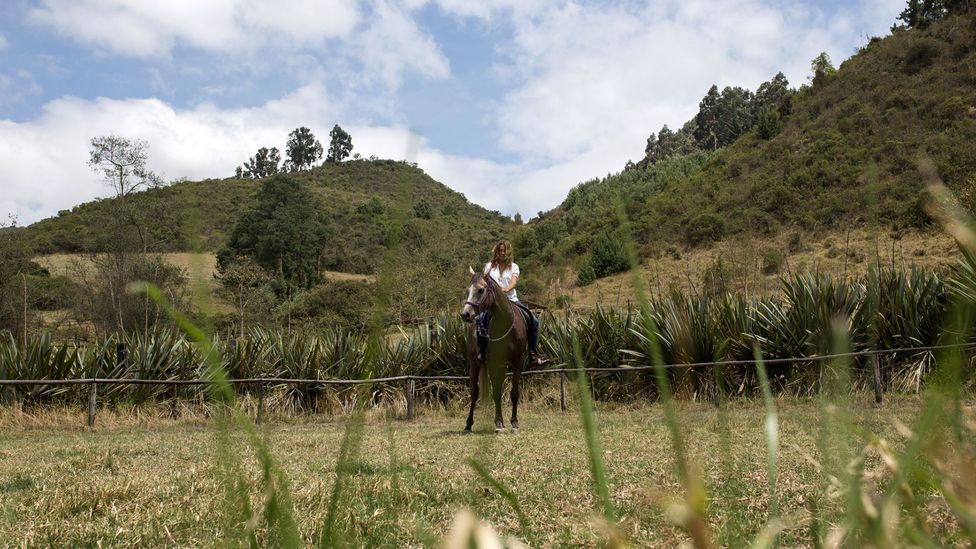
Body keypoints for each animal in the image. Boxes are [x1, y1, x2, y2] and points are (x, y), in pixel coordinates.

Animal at [459, 267, 529, 433]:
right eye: (468, 290)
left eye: (480, 290)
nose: (465, 314)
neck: (507, 323)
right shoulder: (495, 362)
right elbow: (496, 392)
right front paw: (499, 423)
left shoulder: (518, 362)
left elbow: (514, 393)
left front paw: (514, 423)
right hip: (474, 363)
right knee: (474, 393)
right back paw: (468, 424)